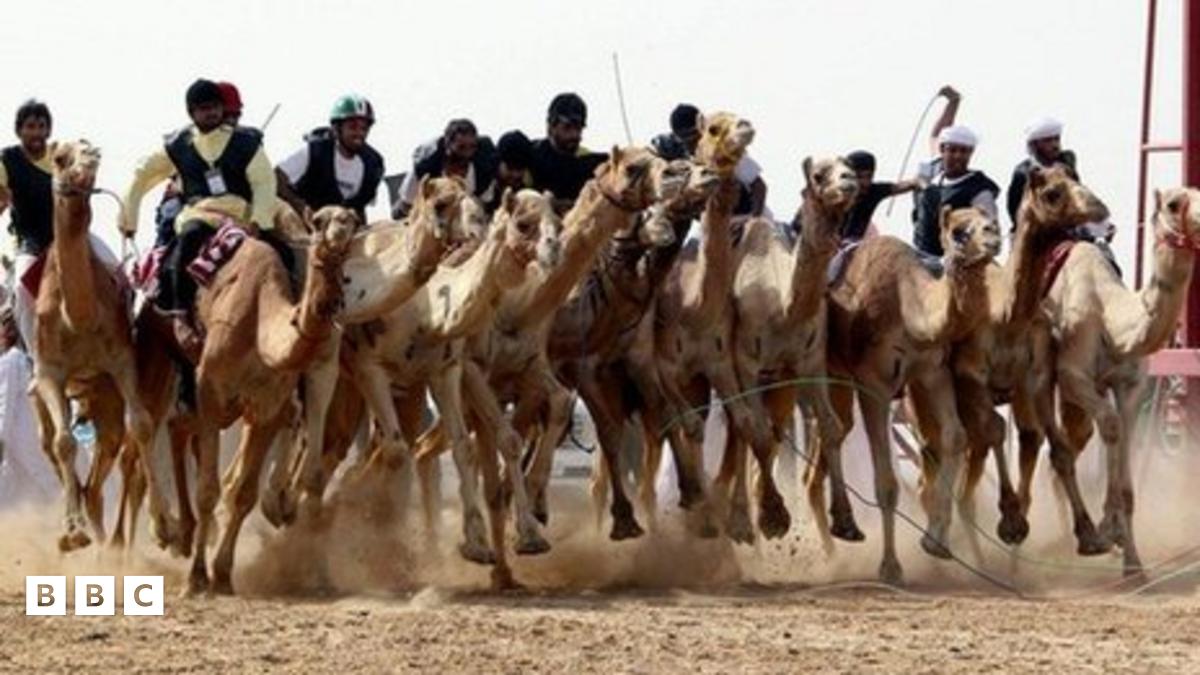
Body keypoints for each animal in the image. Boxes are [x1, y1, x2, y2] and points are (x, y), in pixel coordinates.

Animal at [30, 140, 174, 553]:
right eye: (60, 157)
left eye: (89, 148)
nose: (91, 156)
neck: (76, 316)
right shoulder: (48, 371)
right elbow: (64, 443)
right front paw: (71, 533)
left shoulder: (121, 360)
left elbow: (141, 425)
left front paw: (165, 526)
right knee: (50, 444)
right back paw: (81, 527)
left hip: (104, 397)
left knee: (104, 463)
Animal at [183, 204, 356, 595]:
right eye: (319, 221)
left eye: (352, 220)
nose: (340, 229)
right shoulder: (208, 395)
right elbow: (205, 490)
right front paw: (196, 578)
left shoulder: (268, 407)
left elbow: (243, 494)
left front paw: (223, 576)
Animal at [820, 206, 1001, 583]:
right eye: (959, 231)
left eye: (989, 220)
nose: (994, 235)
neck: (907, 305)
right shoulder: (872, 383)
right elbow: (888, 484)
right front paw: (890, 567)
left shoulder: (932, 370)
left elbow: (955, 437)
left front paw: (936, 543)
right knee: (824, 431)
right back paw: (840, 529)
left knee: (831, 433)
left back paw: (839, 531)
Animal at [1030, 186, 1200, 576]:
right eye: (1173, 204)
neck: (1113, 320)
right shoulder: (1074, 375)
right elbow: (1110, 425)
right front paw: (1108, 529)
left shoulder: (1131, 386)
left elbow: (1124, 450)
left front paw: (1133, 562)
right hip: (1041, 378)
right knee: (1052, 449)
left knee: (1067, 447)